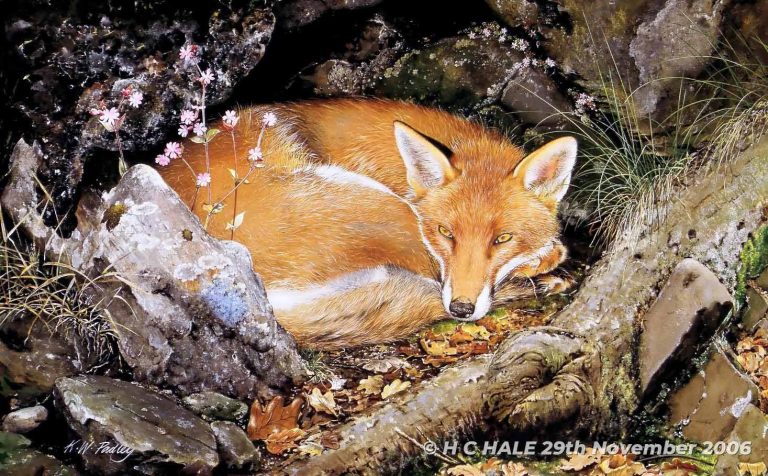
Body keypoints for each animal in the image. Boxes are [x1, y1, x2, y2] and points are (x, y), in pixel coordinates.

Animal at [158, 99, 577, 348]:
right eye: (445, 233)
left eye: (502, 238)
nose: (461, 308)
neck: (396, 165)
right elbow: (551, 250)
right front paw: (542, 264)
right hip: (385, 209)